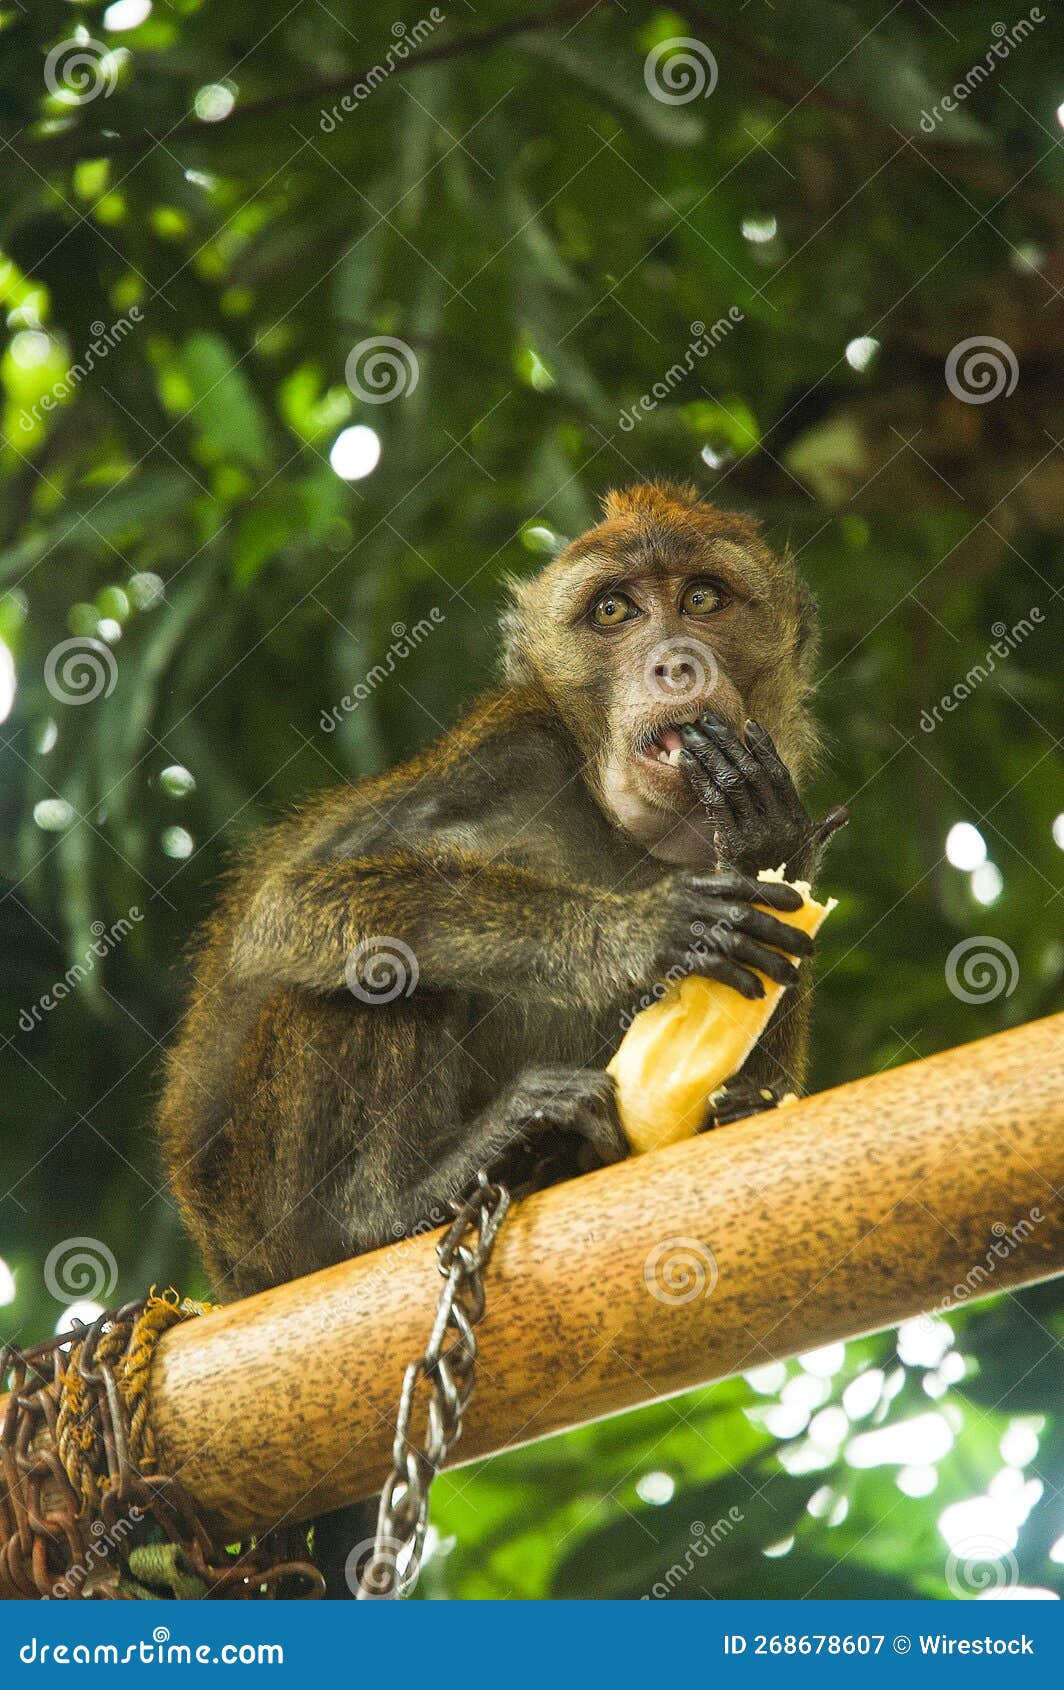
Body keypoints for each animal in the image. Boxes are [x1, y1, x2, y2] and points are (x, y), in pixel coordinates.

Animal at [156, 481, 847, 1590]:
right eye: (613, 612)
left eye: (702, 598)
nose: (673, 659)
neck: (616, 826)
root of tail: (227, 1265)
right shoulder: (507, 748)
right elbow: (288, 911)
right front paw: (635, 936)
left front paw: (756, 848)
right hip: (261, 1207)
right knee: (382, 973)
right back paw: (396, 1202)